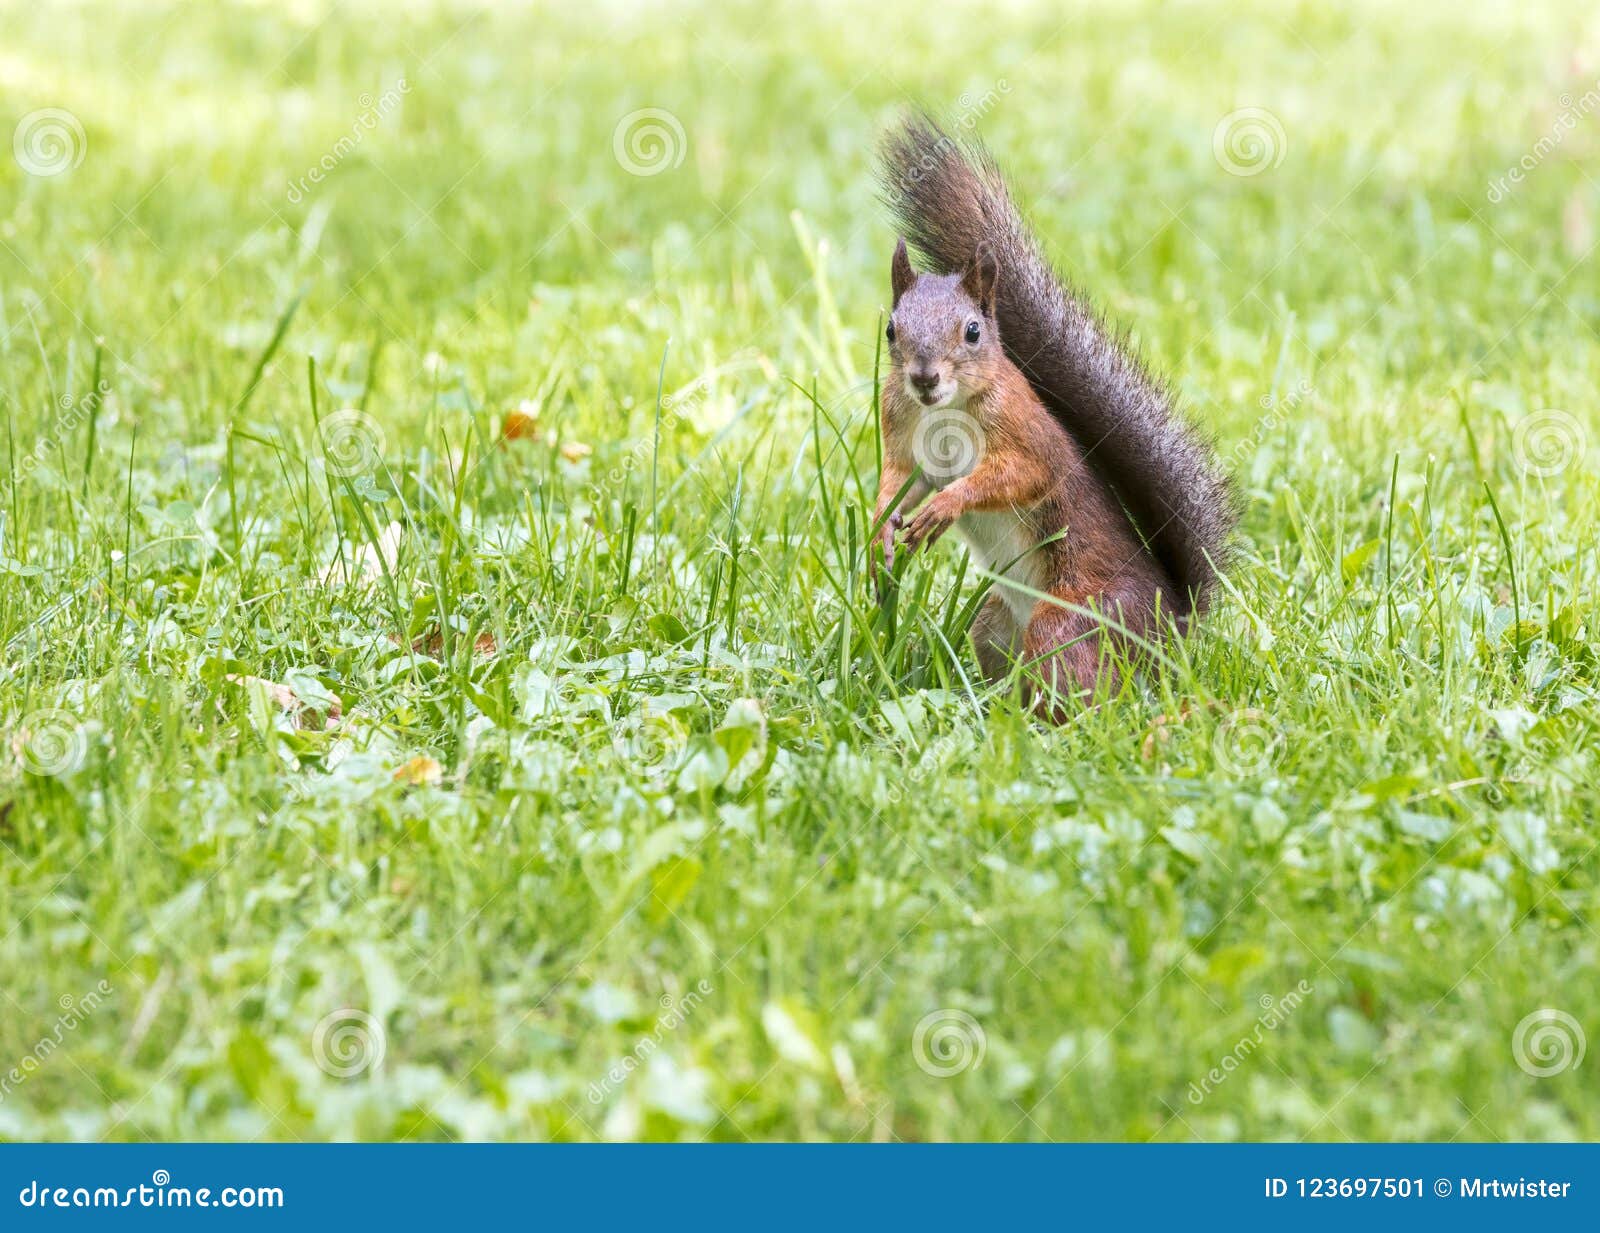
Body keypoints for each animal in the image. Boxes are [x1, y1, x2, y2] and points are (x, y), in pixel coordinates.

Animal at [870, 115, 1235, 715]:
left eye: (973, 331)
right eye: (891, 330)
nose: (923, 379)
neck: (943, 411)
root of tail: (1171, 628)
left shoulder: (1025, 434)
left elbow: (1020, 475)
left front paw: (948, 505)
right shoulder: (902, 435)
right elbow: (900, 481)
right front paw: (881, 530)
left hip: (1065, 625)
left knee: (1081, 692)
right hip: (995, 624)